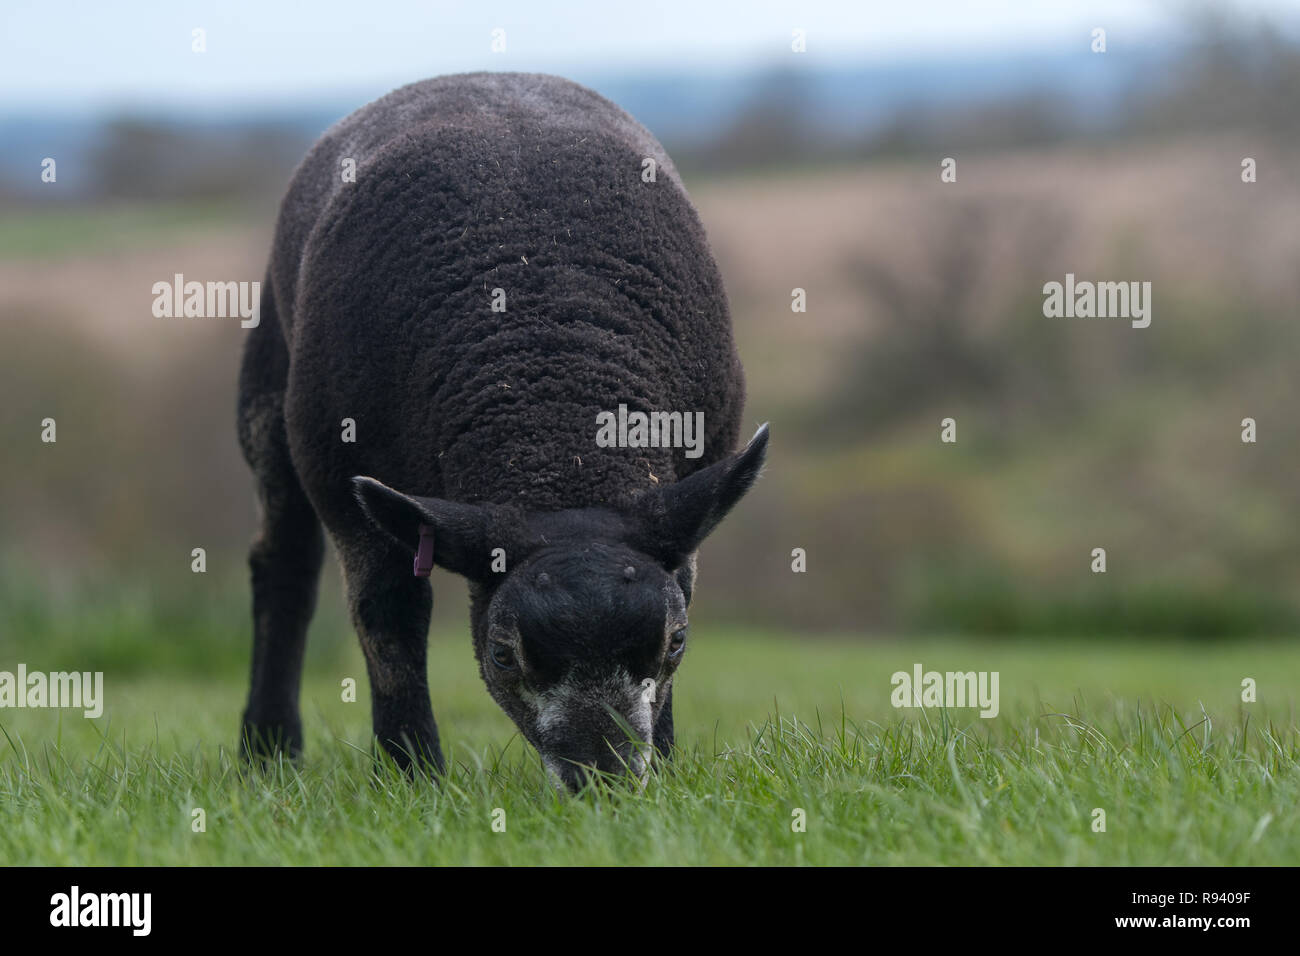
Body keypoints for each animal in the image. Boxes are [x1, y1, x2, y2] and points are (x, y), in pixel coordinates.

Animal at [236, 72, 767, 790]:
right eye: (503, 655)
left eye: (676, 641)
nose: (602, 781)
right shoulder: (342, 473)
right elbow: (388, 616)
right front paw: (413, 776)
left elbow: (681, 588)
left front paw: (668, 763)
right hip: (269, 400)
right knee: (284, 567)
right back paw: (268, 751)